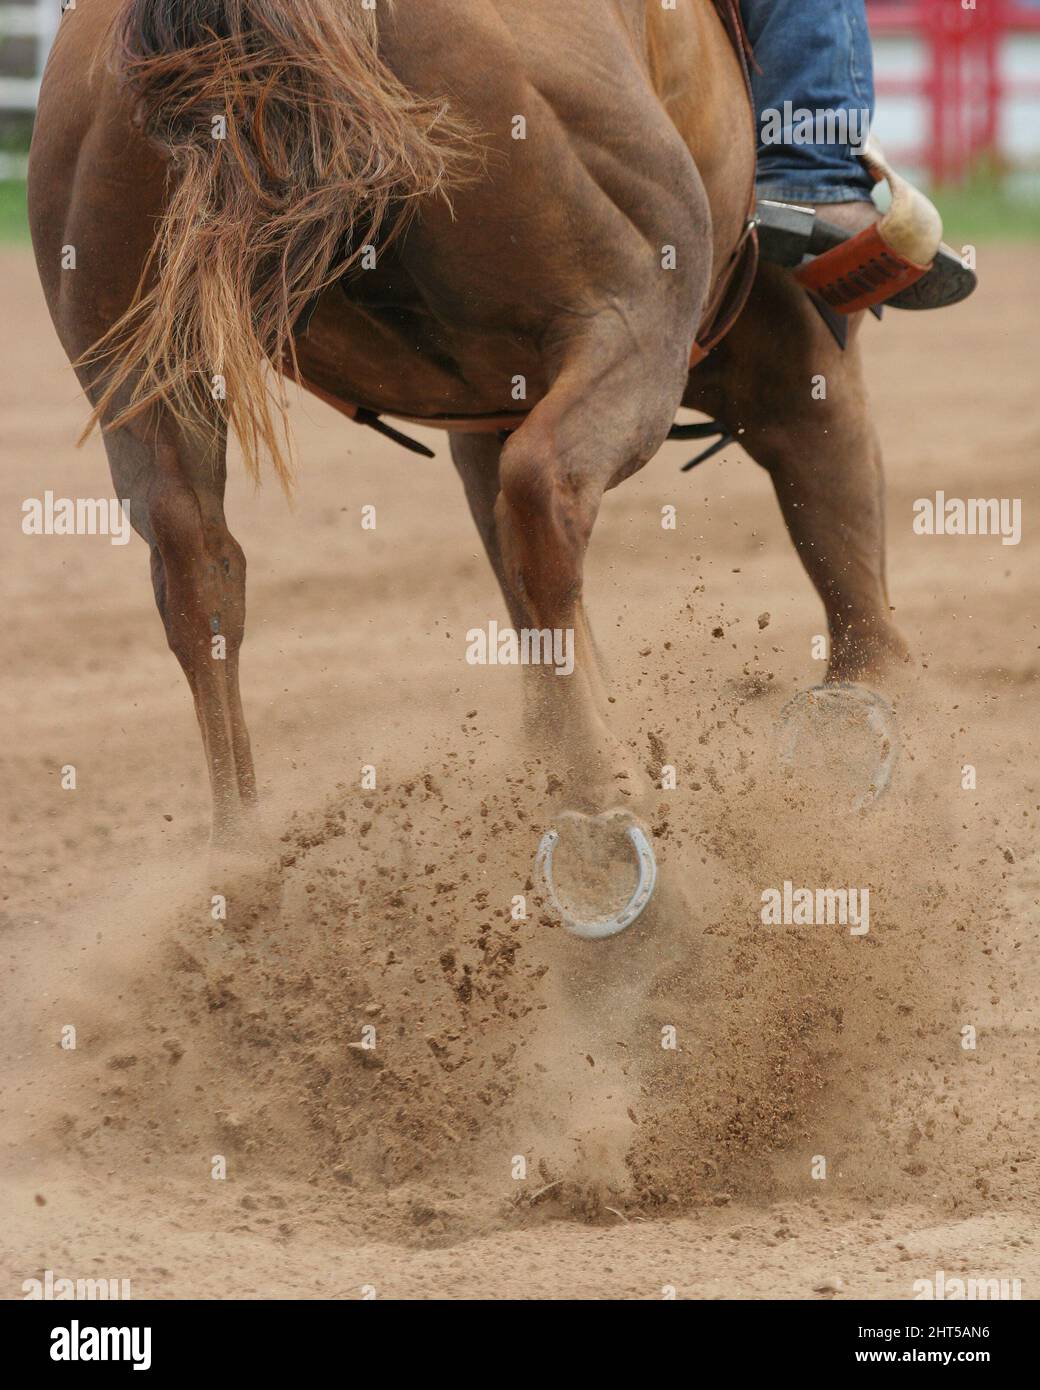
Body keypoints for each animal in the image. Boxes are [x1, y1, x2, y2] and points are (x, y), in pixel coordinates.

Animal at [27, 0, 908, 935]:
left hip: (143, 381)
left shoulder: (485, 416)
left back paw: (242, 864)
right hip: (635, 317)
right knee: (546, 496)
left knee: (200, 574)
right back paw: (608, 825)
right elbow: (861, 613)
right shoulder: (800, 378)